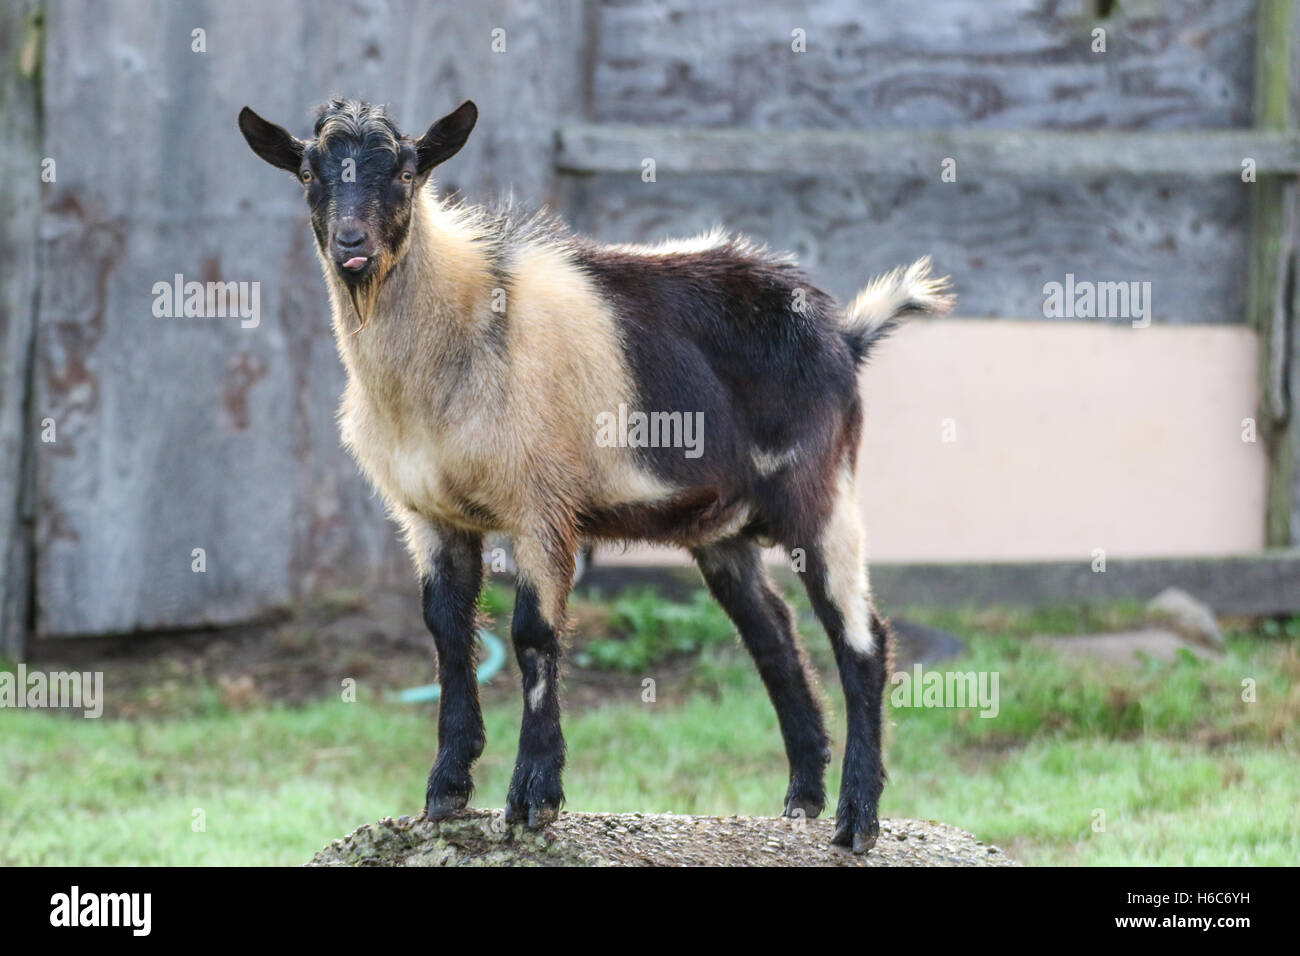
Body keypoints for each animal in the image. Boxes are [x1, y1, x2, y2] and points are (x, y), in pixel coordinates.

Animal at [238, 98, 952, 853]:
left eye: (406, 170)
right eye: (308, 171)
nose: (352, 246)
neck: (463, 333)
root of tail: (845, 334)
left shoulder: (540, 508)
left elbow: (532, 636)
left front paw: (534, 797)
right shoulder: (431, 516)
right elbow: (447, 635)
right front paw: (446, 790)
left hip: (820, 493)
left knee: (862, 639)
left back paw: (856, 819)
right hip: (722, 530)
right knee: (774, 635)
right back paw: (801, 798)